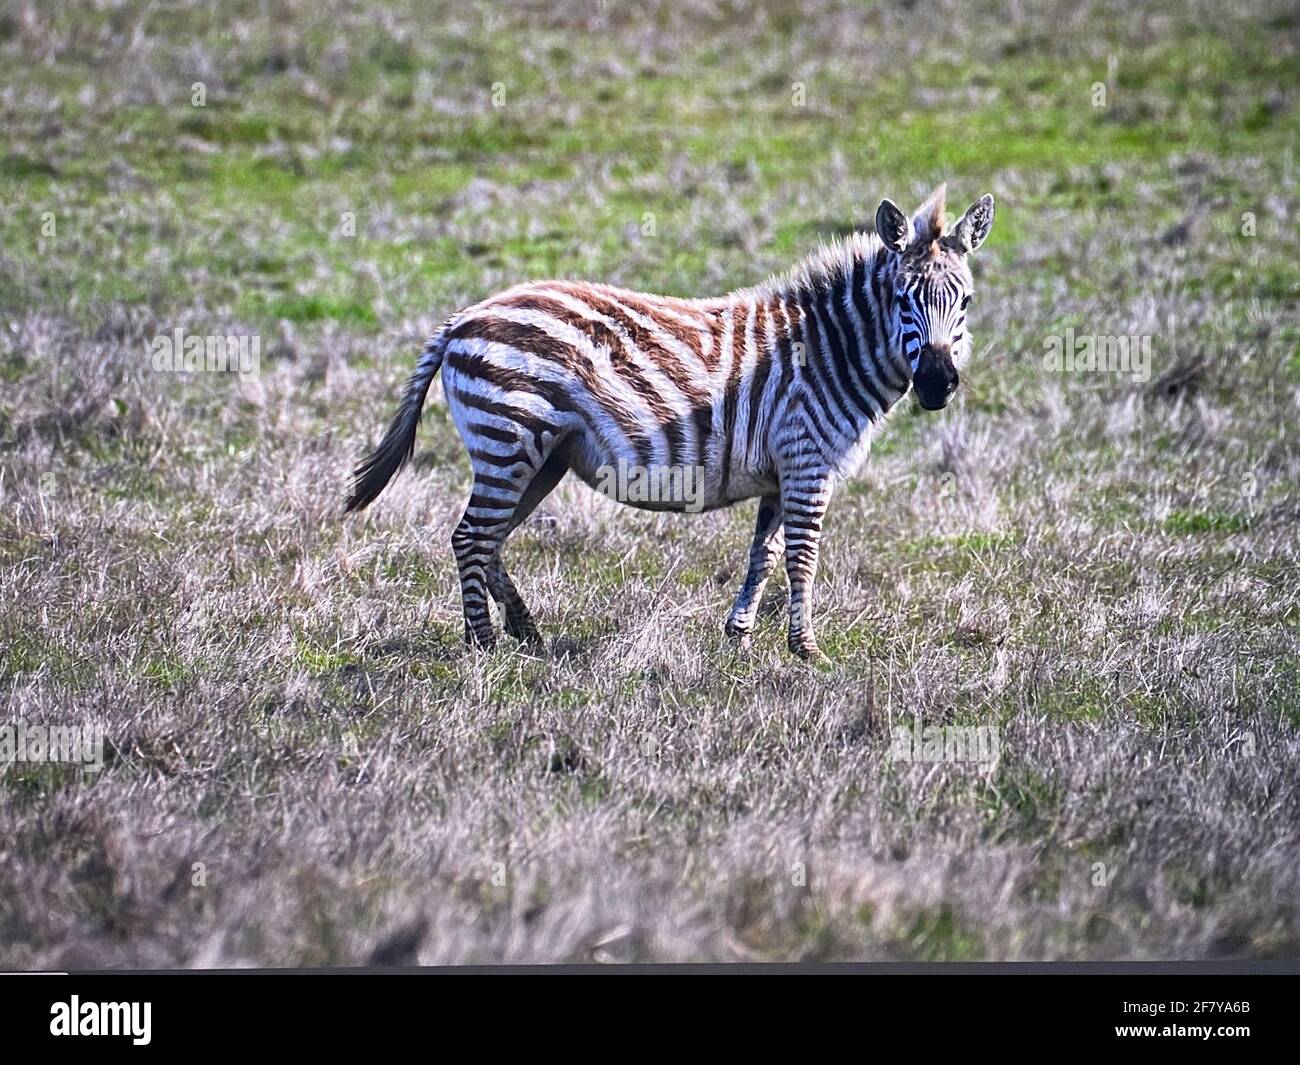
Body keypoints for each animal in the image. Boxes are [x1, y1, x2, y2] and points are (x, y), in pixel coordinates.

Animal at [346, 185, 995, 661]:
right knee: (472, 537)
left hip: (540, 458)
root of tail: (463, 317)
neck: (827, 350)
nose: (937, 384)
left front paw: (739, 635)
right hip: (508, 441)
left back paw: (527, 634)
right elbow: (801, 558)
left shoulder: (782, 470)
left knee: (491, 540)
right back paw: (484, 646)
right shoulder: (808, 463)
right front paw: (807, 650)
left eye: (963, 302)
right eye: (905, 300)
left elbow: (763, 554)